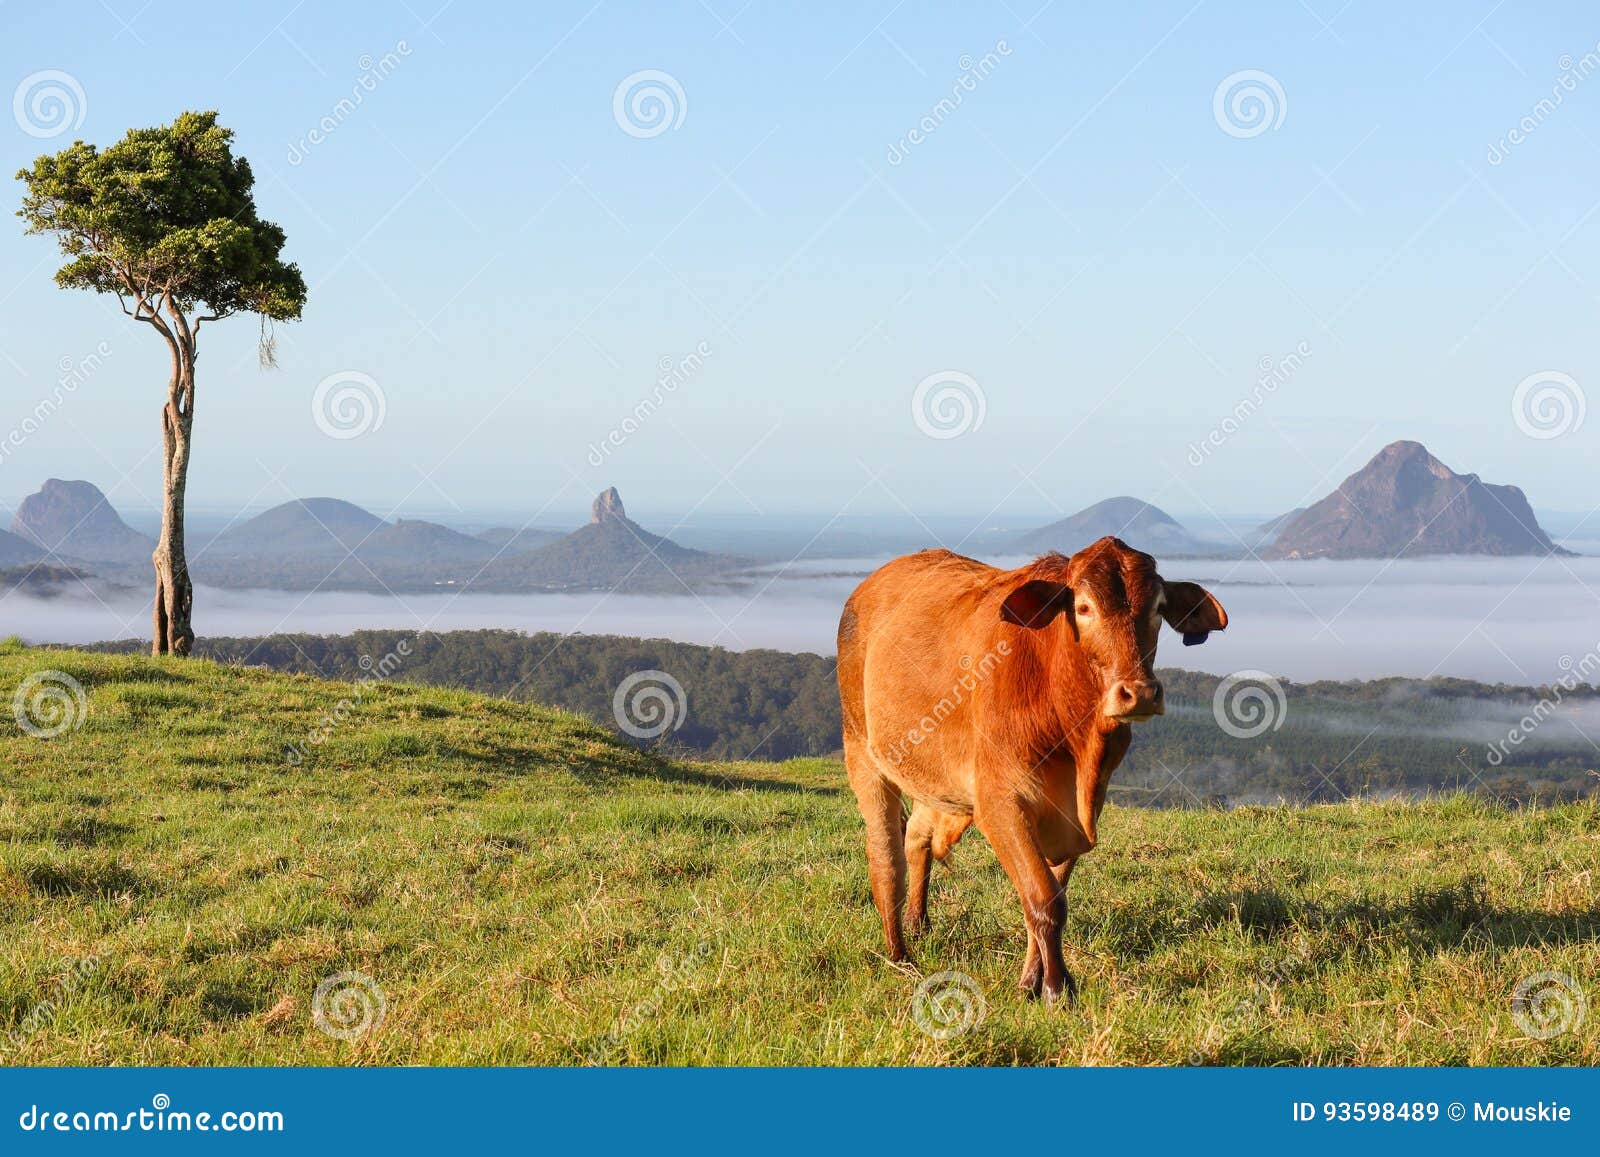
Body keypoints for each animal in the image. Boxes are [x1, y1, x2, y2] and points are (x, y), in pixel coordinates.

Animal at [836, 536, 1228, 1002]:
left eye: (1158, 608)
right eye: (1083, 607)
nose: (1140, 693)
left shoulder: (1078, 810)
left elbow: (1047, 894)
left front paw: (1031, 981)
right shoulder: (1001, 803)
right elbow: (1044, 899)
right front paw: (1058, 987)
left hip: (937, 778)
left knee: (917, 838)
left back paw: (918, 922)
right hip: (862, 751)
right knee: (885, 858)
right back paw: (899, 955)